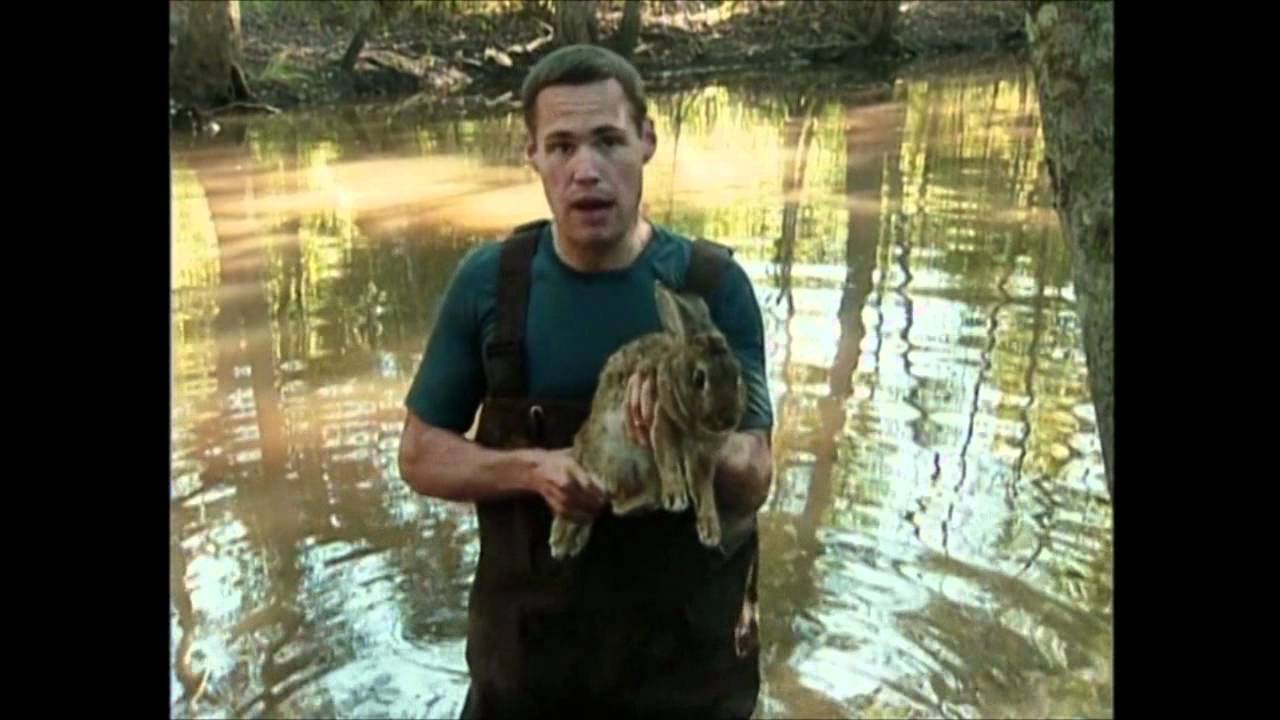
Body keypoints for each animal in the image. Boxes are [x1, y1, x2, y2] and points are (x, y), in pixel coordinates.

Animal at [548, 280, 747, 560]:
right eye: (699, 378)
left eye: (737, 374)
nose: (728, 420)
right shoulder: (660, 421)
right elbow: (669, 460)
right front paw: (676, 497)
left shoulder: (704, 456)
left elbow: (705, 488)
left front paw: (710, 530)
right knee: (607, 500)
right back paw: (564, 540)